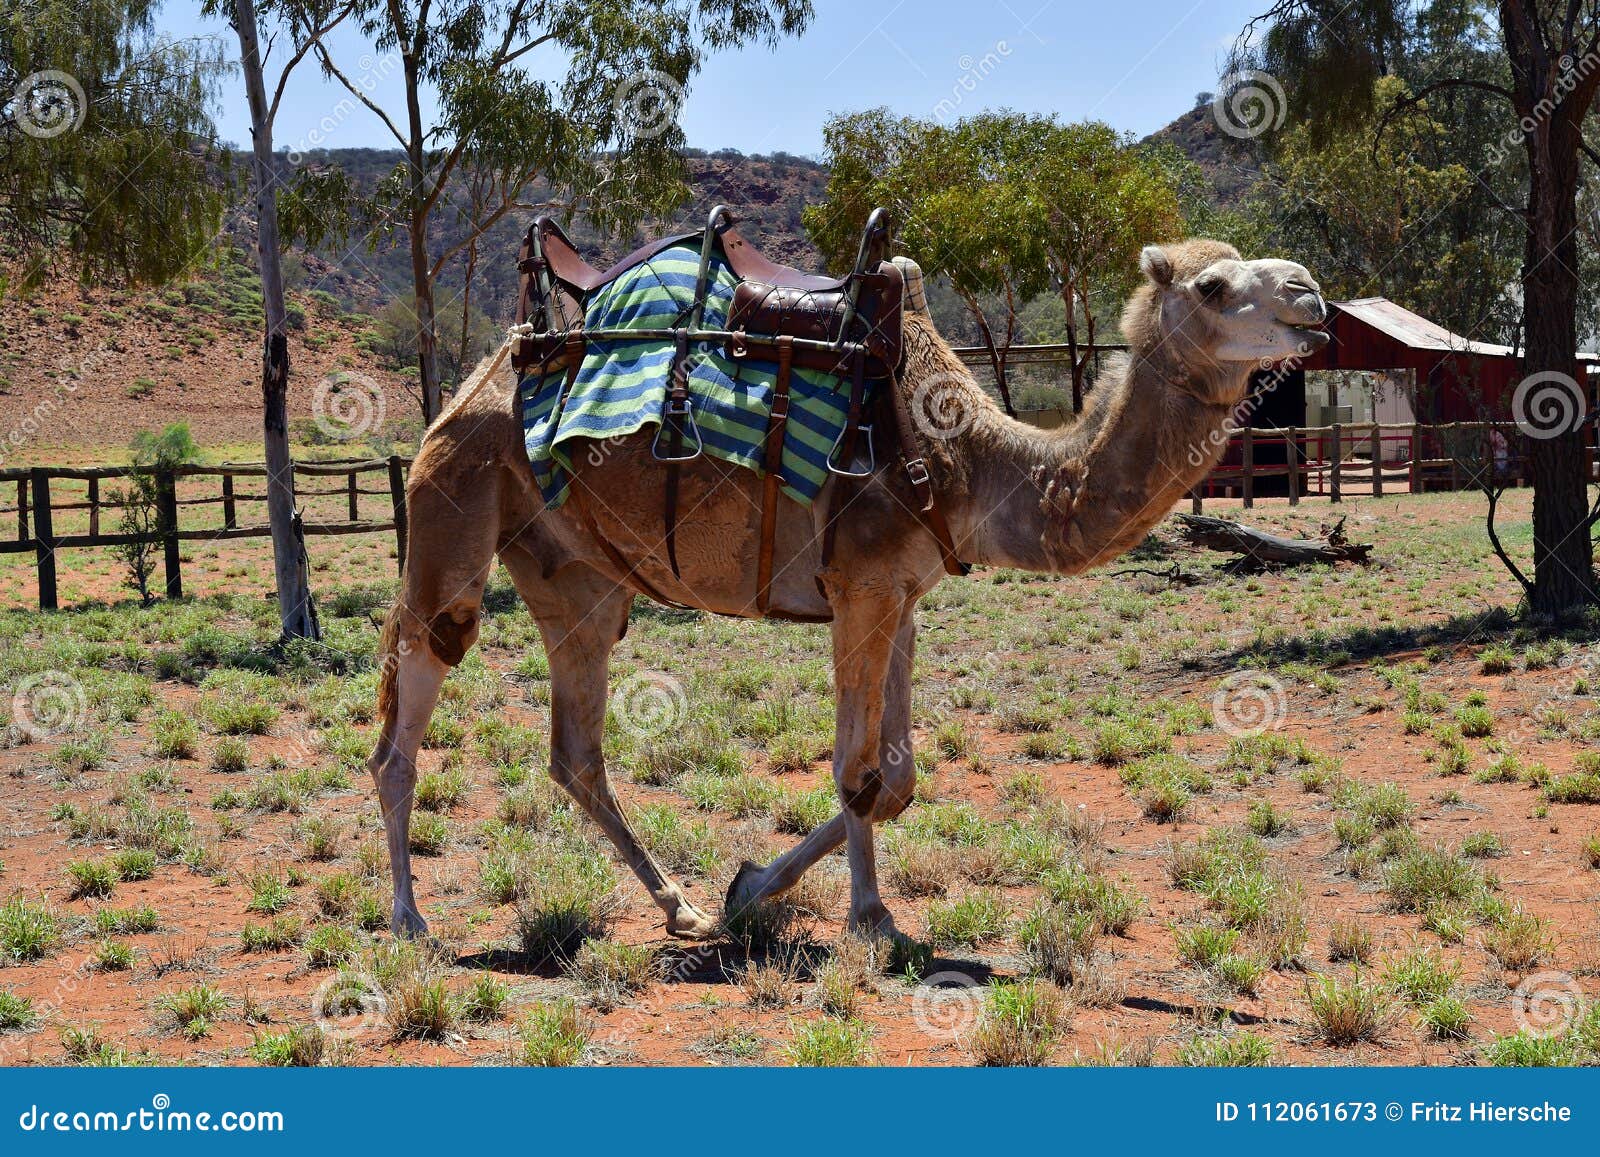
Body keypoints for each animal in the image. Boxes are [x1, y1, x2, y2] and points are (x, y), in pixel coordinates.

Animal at [367, 237, 1329, 942]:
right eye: (1214, 284)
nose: (1312, 296)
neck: (961, 459)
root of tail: (480, 377)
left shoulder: (903, 593)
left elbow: (894, 775)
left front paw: (747, 887)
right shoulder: (859, 583)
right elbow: (855, 767)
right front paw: (869, 915)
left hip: (578, 576)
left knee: (575, 750)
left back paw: (679, 906)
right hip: (455, 503)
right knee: (414, 695)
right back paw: (411, 918)